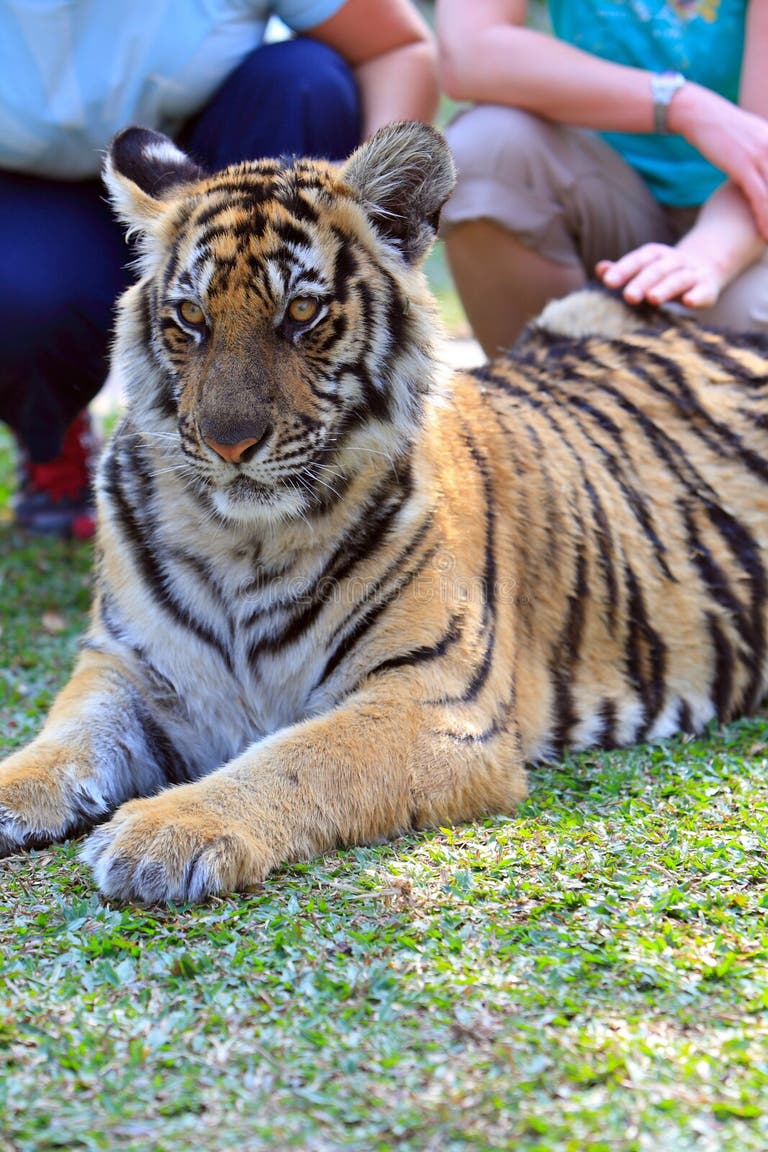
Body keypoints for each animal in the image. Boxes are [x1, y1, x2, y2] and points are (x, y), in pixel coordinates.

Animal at [1, 120, 768, 905]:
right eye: (191, 316)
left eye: (300, 312)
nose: (228, 442)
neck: (242, 539)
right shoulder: (130, 667)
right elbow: (60, 738)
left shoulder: (433, 699)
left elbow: (301, 757)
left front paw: (169, 828)